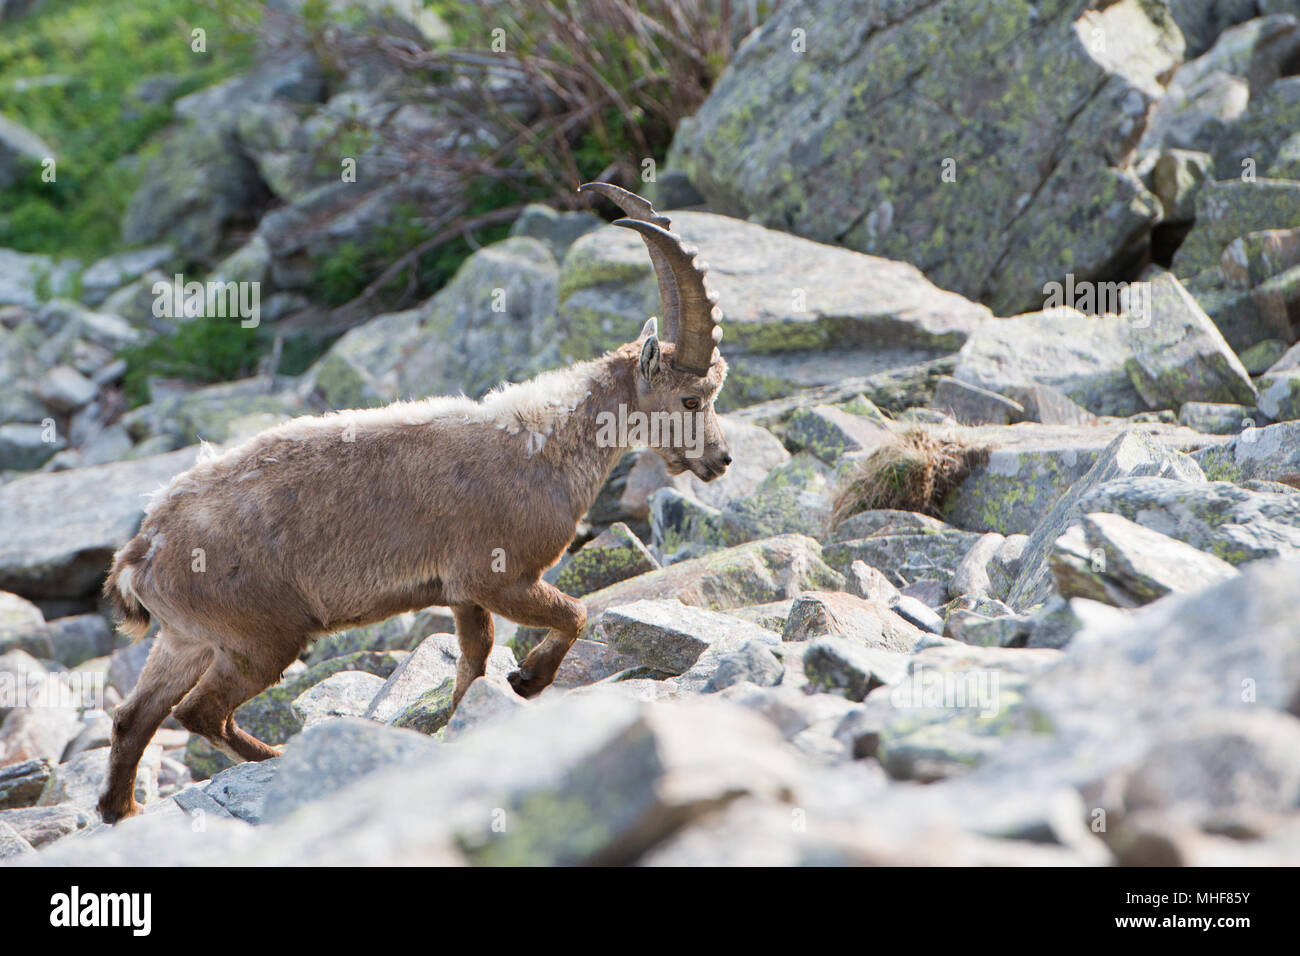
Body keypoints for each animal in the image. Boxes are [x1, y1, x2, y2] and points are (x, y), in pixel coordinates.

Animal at [96, 183, 732, 823]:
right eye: (691, 398)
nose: (721, 460)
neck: (544, 444)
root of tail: (141, 550)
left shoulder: (461, 593)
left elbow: (475, 657)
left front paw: (463, 719)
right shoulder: (498, 577)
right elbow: (573, 613)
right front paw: (527, 679)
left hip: (186, 638)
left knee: (134, 717)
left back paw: (122, 811)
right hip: (261, 638)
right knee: (198, 711)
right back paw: (276, 762)